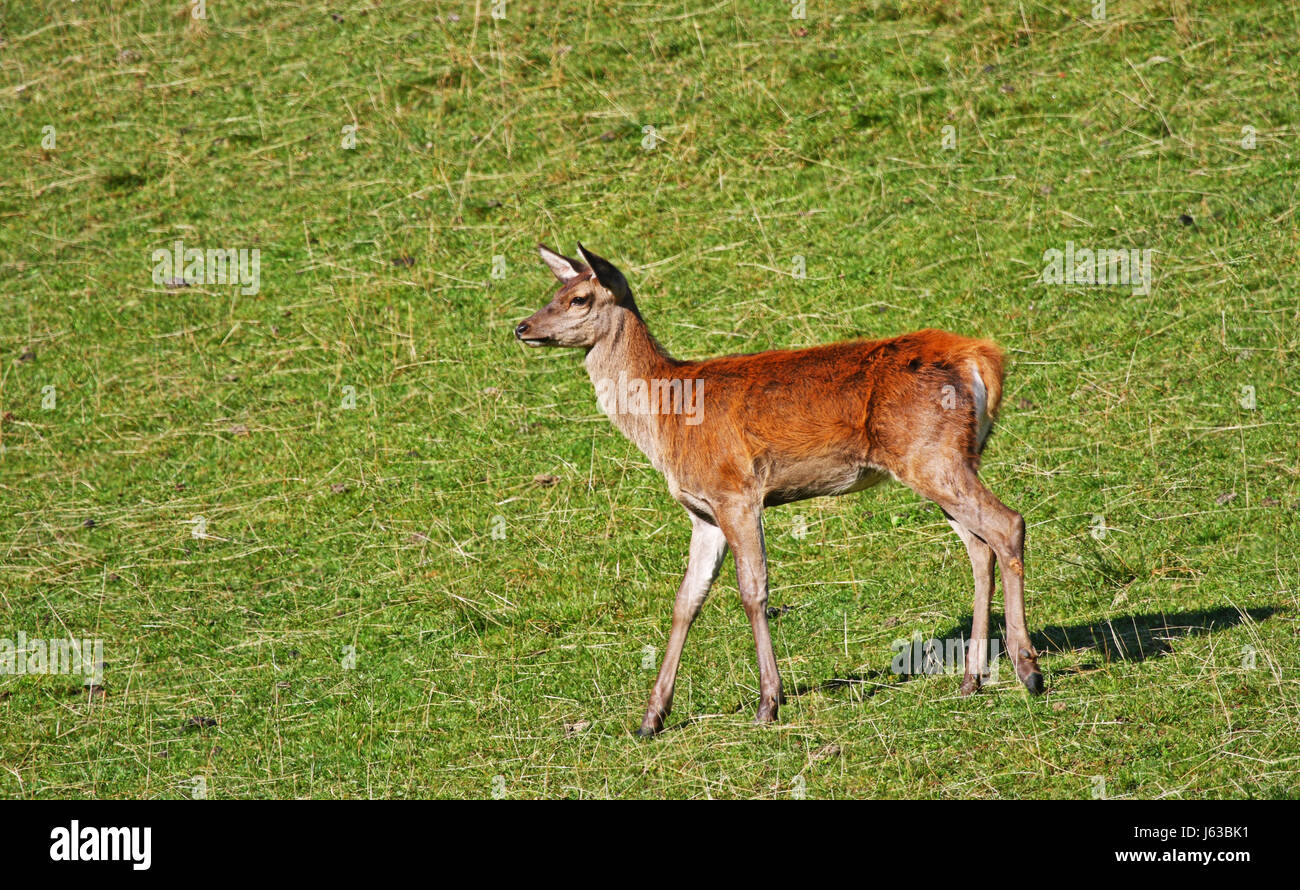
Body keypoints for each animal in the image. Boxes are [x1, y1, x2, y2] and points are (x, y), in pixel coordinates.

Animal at [515, 243, 1044, 737]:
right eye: (553, 292)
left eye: (579, 298)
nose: (522, 327)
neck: (668, 420)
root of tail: (983, 359)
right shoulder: (702, 511)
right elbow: (687, 600)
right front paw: (651, 718)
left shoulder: (735, 491)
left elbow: (753, 591)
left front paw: (768, 703)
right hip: (947, 461)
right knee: (980, 547)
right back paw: (972, 679)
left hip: (932, 456)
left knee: (1008, 524)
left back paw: (1028, 669)